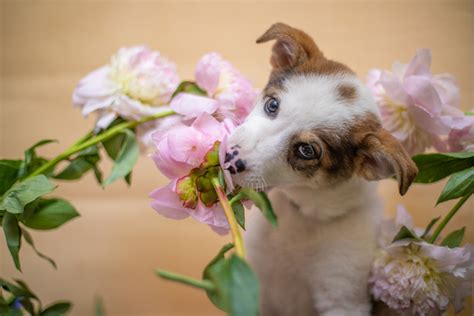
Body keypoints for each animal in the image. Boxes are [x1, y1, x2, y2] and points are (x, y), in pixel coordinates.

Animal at [227, 23, 418, 314]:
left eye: (306, 150)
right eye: (272, 105)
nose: (229, 159)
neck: (304, 215)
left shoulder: (343, 299)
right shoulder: (257, 286)